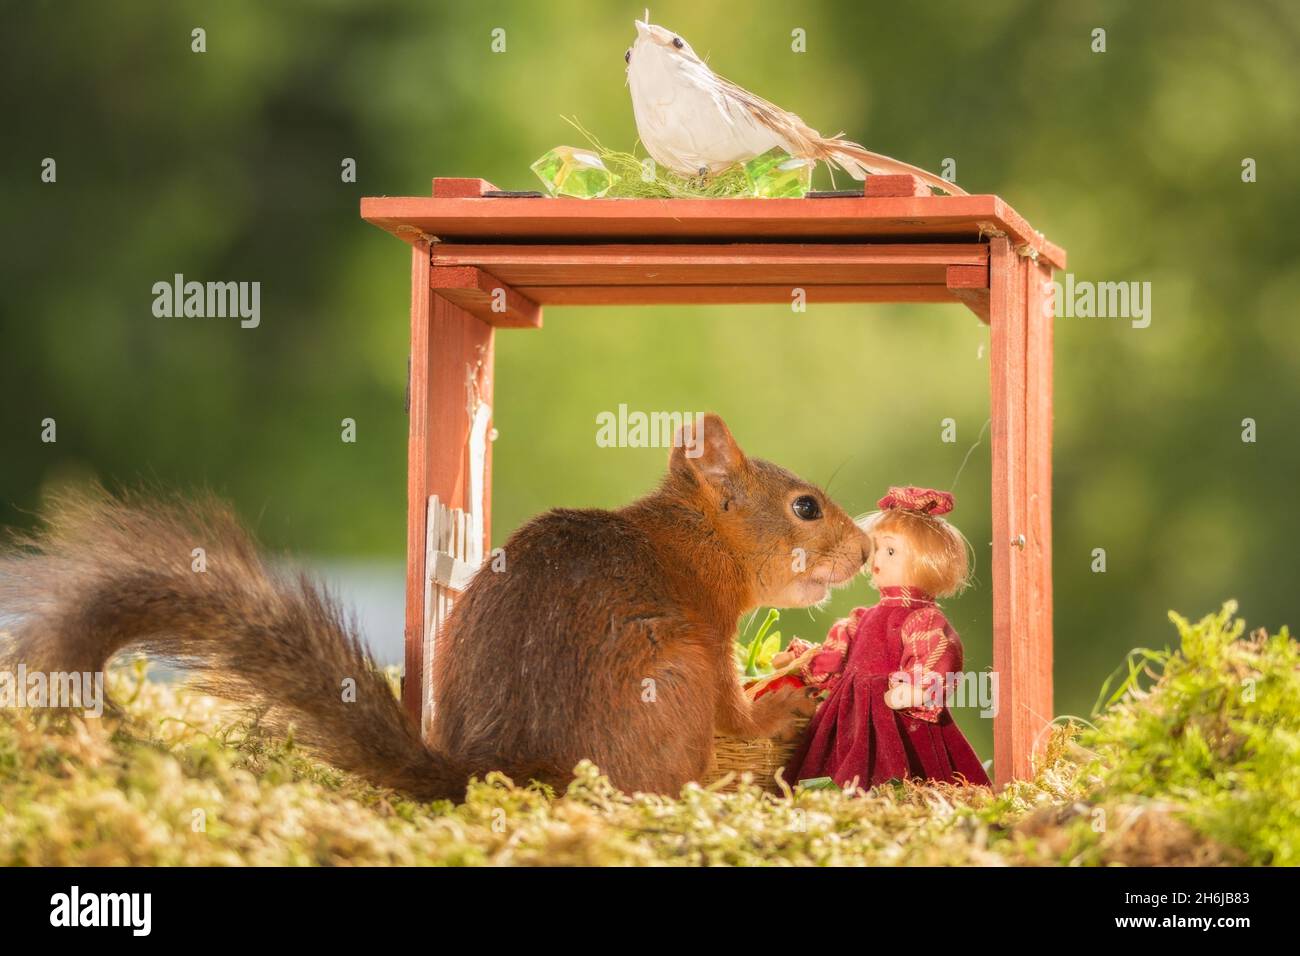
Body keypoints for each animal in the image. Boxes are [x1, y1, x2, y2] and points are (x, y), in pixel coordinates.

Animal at [0, 413, 870, 799]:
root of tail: (506, 767)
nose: (865, 552)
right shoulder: (710, 631)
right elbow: (737, 711)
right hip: (673, 675)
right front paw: (785, 694)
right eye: (805, 508)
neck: (700, 540)